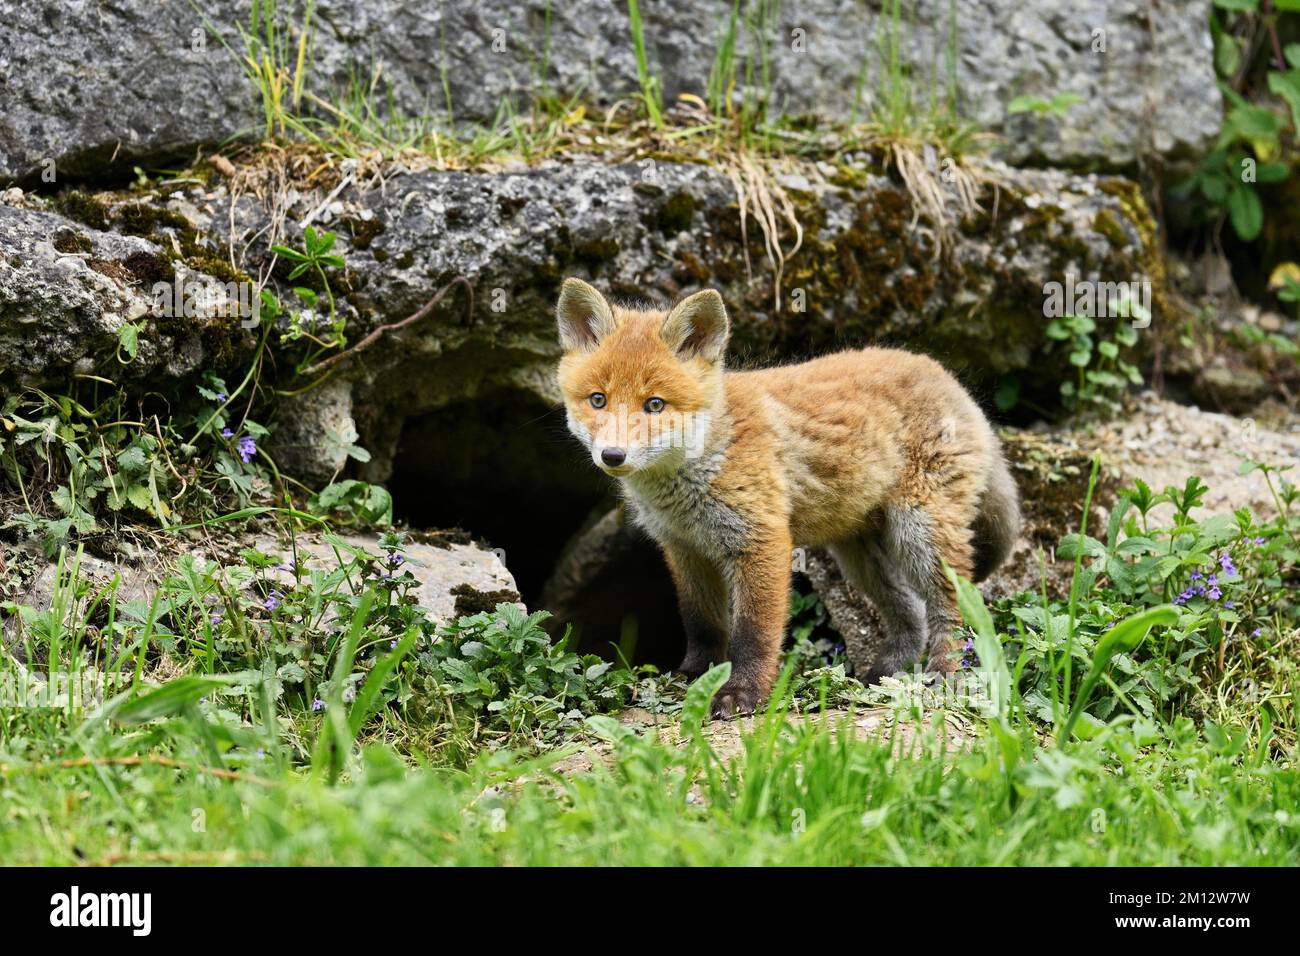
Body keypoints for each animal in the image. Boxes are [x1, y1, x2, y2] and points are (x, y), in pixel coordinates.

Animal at [555, 278, 1021, 718]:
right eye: (598, 399)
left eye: (654, 404)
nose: (612, 455)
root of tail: (945, 375)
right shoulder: (685, 549)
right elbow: (702, 625)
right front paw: (694, 677)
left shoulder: (762, 540)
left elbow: (754, 634)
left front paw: (743, 694)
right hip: (861, 558)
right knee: (911, 614)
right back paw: (884, 676)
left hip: (920, 533)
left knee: (955, 609)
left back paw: (946, 676)